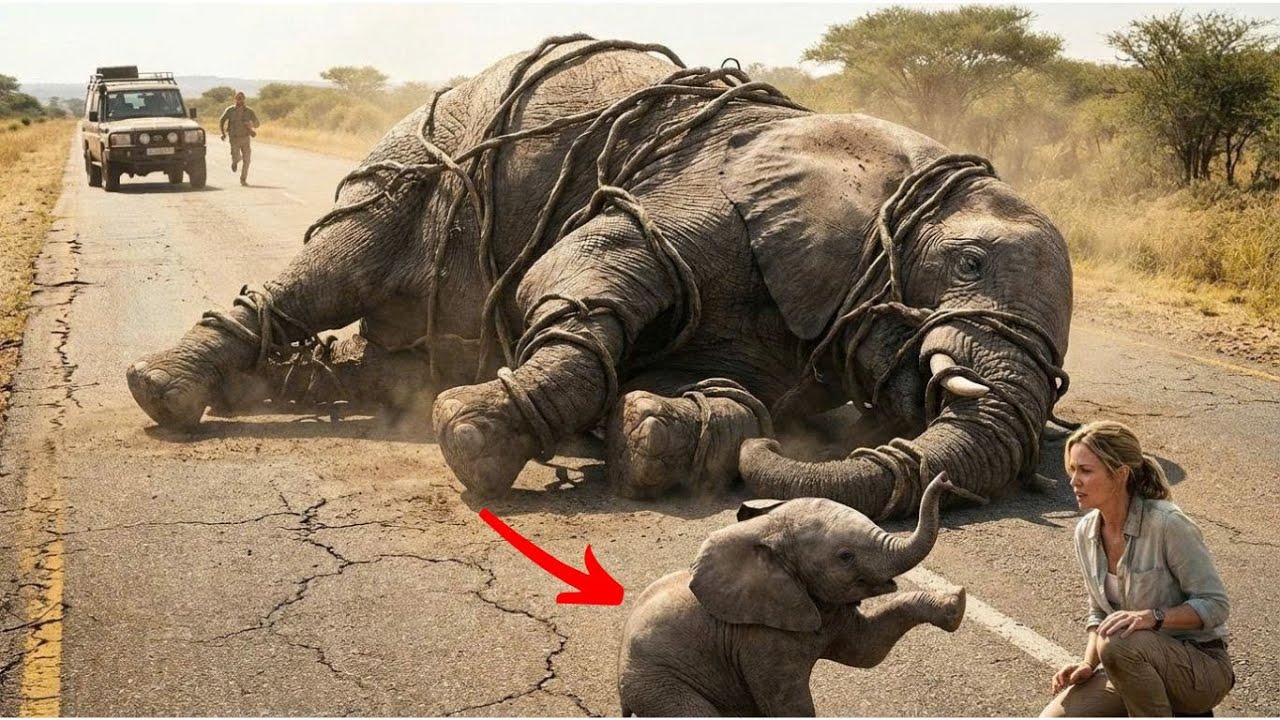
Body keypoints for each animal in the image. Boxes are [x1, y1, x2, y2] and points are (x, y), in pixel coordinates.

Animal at [125, 35, 1073, 518]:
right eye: (968, 261)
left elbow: (727, 389)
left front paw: (658, 432)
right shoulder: (699, 194)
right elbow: (577, 270)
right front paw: (477, 438)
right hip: (405, 174)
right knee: (321, 276)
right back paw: (164, 391)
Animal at [616, 473, 966, 716]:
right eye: (845, 556)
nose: (945, 479)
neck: (769, 531)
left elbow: (866, 648)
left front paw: (955, 604)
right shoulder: (761, 638)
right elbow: (790, 705)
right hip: (658, 684)